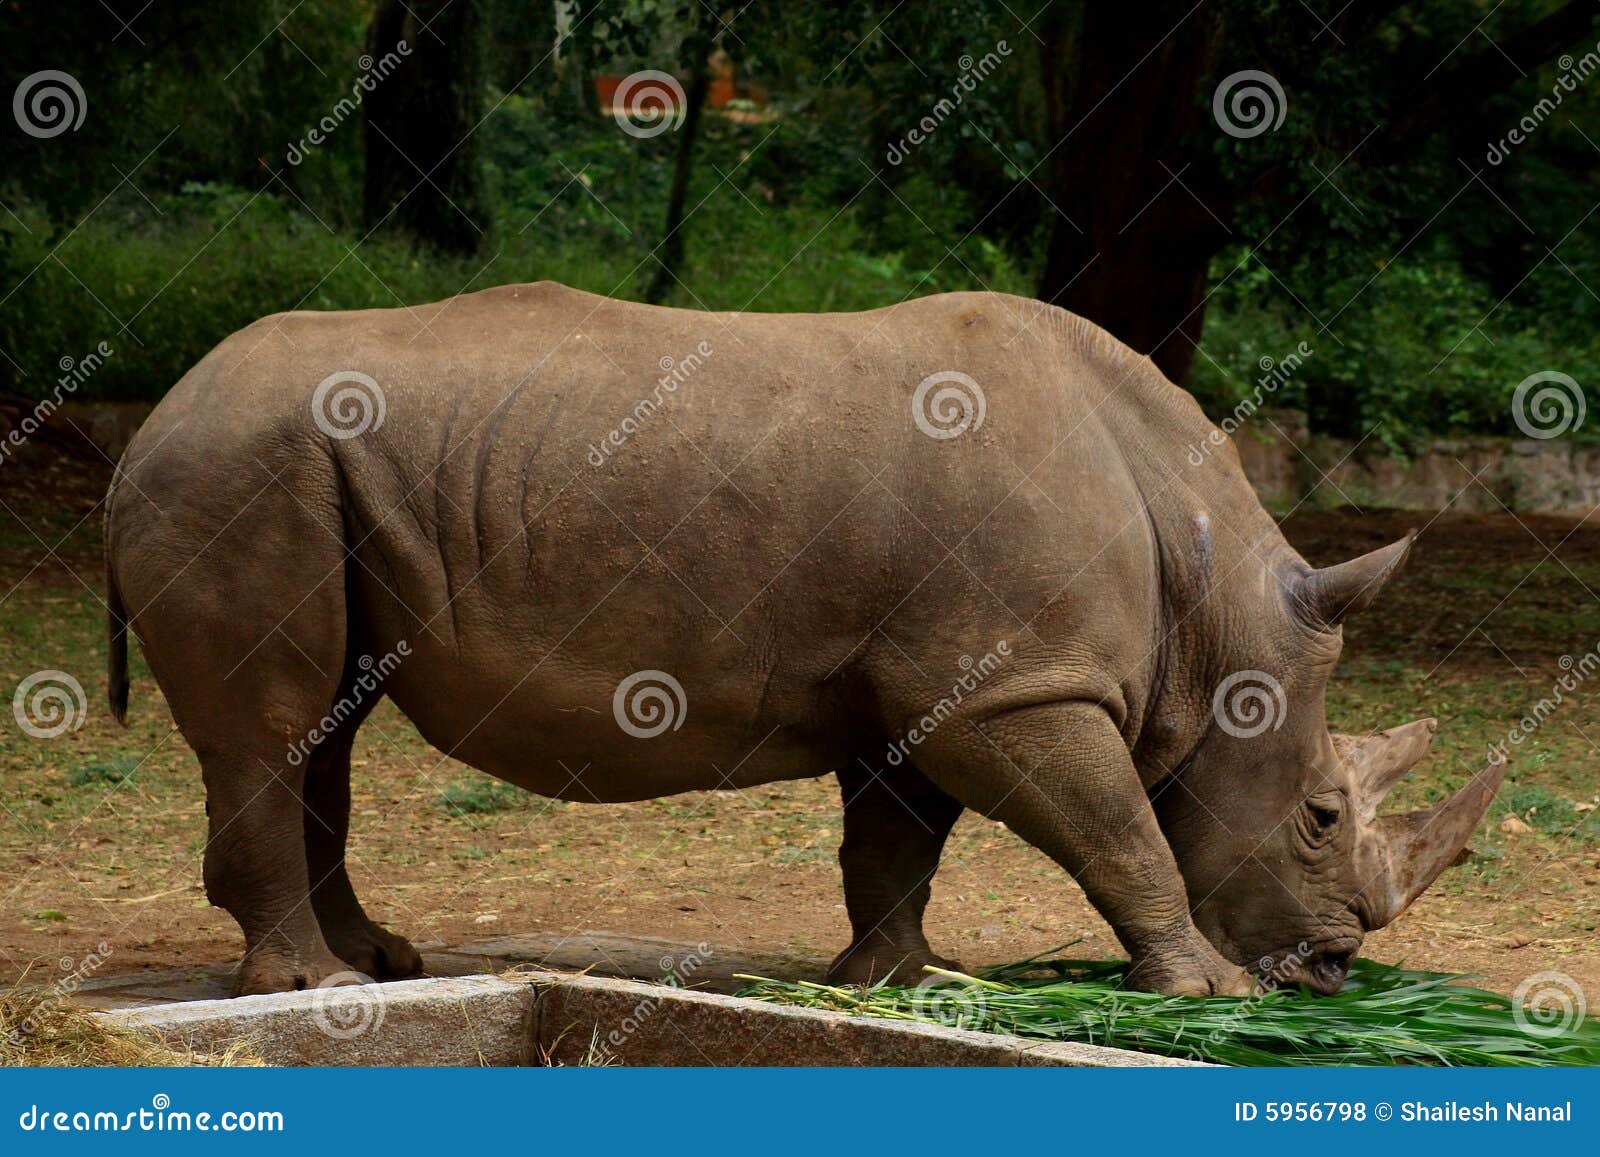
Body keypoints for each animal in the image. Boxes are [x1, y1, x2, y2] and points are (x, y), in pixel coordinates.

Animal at [103, 283, 1502, 997]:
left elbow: (895, 841)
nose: (1334, 969)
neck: (1210, 614)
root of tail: (145, 423)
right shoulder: (1016, 684)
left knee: (327, 723)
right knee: (279, 723)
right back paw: (313, 990)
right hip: (243, 465)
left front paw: (900, 977)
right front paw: (1205, 989)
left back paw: (378, 962)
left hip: (293, 462)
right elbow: (1120, 827)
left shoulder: (939, 685)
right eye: (1321, 813)